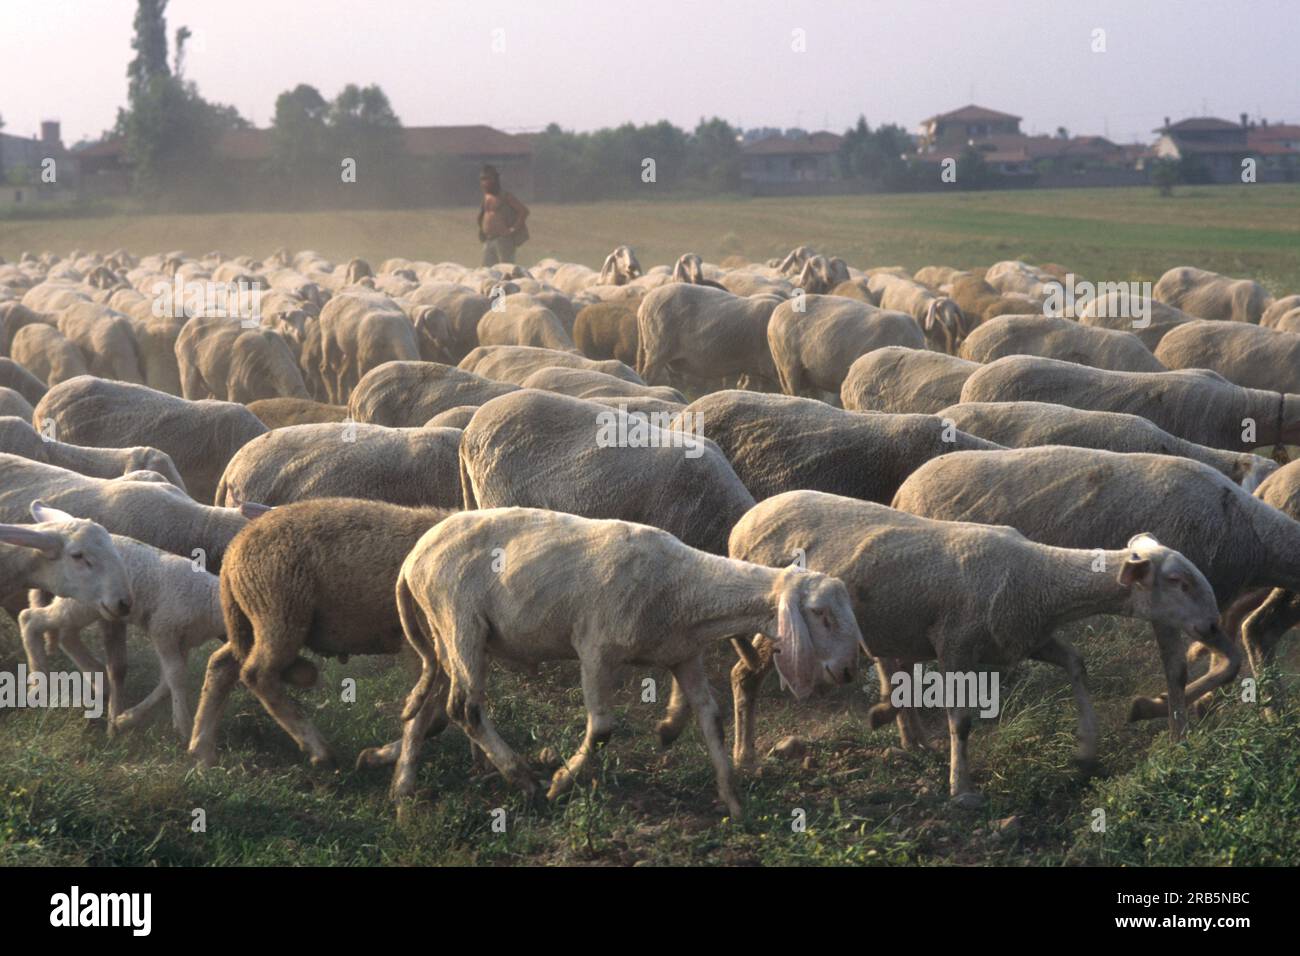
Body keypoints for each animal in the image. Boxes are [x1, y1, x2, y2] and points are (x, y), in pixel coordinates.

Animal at [20, 534, 223, 739]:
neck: (207, 599)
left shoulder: (183, 642)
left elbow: (166, 683)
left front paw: (125, 719)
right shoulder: (163, 630)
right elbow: (176, 676)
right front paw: (184, 726)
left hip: (84, 608)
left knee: (65, 634)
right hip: (79, 603)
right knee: (29, 618)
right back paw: (37, 682)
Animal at [188, 498, 453, 768]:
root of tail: (234, 550)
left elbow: (437, 718)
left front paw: (377, 755)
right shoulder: (420, 644)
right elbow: (432, 717)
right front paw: (379, 756)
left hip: (254, 620)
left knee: (221, 663)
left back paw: (202, 750)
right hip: (280, 611)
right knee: (257, 673)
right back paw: (319, 750)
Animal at [386, 507, 863, 816]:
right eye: (821, 614)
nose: (847, 672)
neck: (686, 588)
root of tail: (412, 559)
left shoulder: (685, 657)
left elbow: (712, 721)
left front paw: (734, 802)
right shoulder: (596, 648)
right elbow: (602, 728)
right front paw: (562, 782)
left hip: (445, 634)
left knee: (430, 702)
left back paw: (403, 786)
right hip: (460, 621)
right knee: (464, 708)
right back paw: (522, 777)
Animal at [727, 491, 1220, 801]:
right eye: (1178, 581)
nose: (1214, 627)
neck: (1038, 579)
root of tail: (742, 524)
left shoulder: (1023, 637)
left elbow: (1076, 665)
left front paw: (1086, 748)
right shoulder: (956, 647)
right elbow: (961, 721)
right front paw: (960, 787)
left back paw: (914, 741)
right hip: (779, 623)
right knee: (743, 675)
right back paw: (743, 757)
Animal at [889, 445, 1300, 735]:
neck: (1253, 534)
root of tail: (902, 490)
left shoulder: (1204, 612)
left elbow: (1227, 662)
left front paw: (1173, 710)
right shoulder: (1172, 608)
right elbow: (1181, 670)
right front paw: (1171, 727)